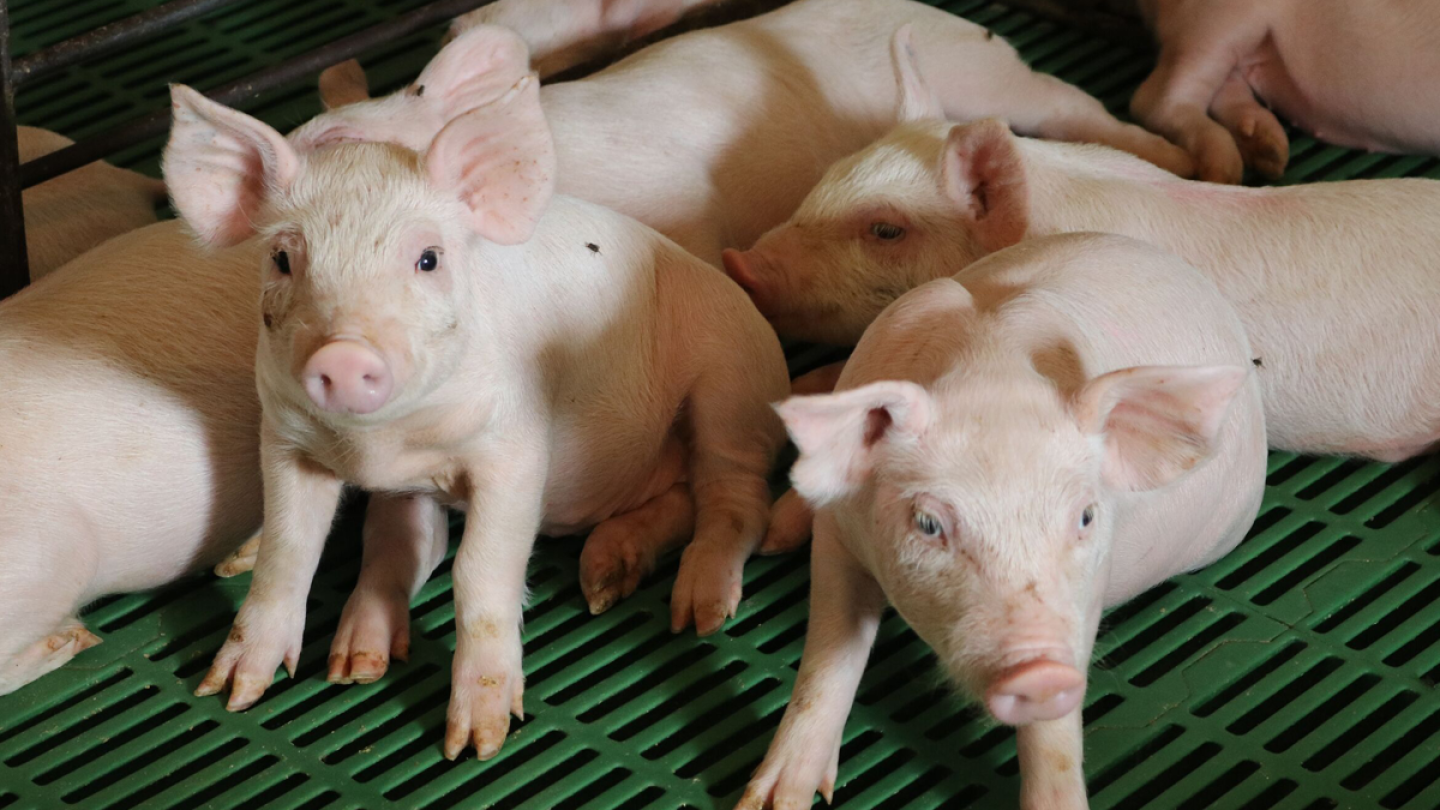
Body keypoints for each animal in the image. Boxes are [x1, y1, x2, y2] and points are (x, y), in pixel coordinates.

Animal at [162, 71, 789, 760]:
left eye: (428, 259)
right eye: (282, 259)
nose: (345, 354)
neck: (379, 447)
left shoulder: (514, 449)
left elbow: (480, 571)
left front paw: (476, 743)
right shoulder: (284, 437)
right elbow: (289, 550)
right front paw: (229, 692)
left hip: (729, 384)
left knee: (735, 497)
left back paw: (696, 612)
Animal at [739, 233, 1266, 810]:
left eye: (1085, 515)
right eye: (928, 523)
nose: (1039, 671)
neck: (989, 373)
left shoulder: (1085, 594)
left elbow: (1053, 732)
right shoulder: (837, 531)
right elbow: (828, 658)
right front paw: (769, 802)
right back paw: (773, 534)